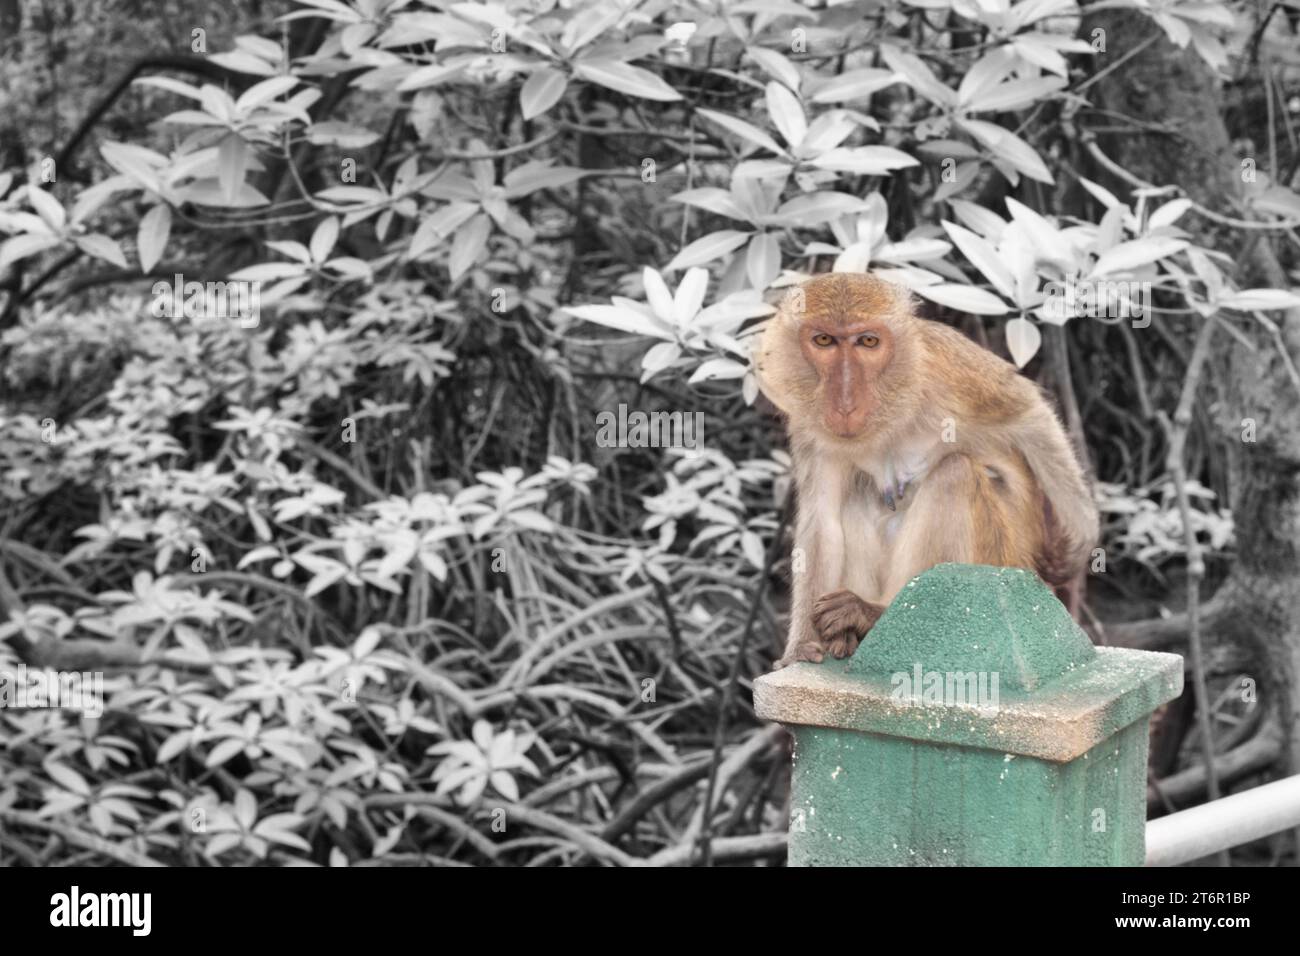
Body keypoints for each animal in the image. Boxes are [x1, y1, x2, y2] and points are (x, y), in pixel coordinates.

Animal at [753, 272, 1099, 668]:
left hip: (1001, 560)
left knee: (955, 473)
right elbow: (822, 522)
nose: (845, 399)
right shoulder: (809, 423)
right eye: (823, 340)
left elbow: (1029, 413)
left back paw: (873, 614)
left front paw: (1080, 541)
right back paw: (852, 634)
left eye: (868, 341)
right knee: (856, 497)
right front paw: (800, 645)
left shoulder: (943, 367)